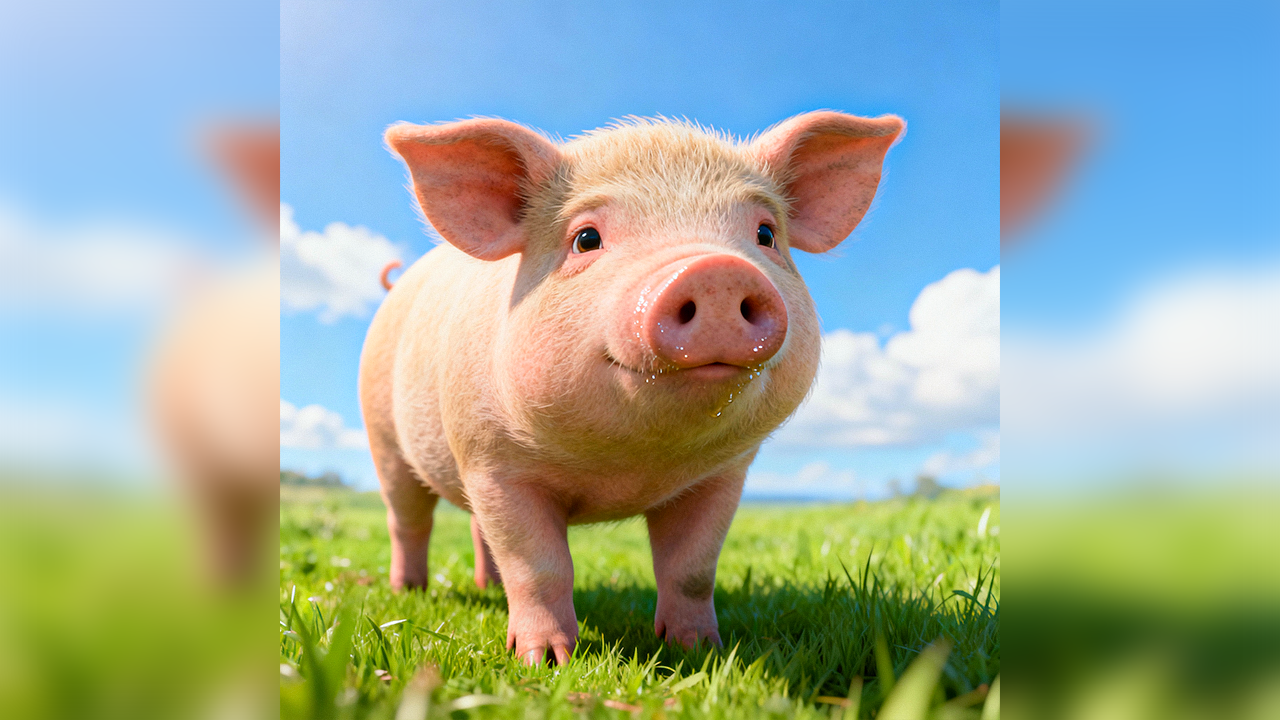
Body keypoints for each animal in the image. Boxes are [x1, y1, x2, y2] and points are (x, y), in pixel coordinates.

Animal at [360, 111, 903, 664]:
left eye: (766, 234)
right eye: (586, 239)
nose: (716, 271)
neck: (626, 469)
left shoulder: (723, 476)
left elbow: (692, 569)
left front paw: (701, 651)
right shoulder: (491, 461)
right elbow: (539, 566)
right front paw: (547, 661)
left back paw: (486, 587)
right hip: (385, 439)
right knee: (407, 520)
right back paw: (409, 592)